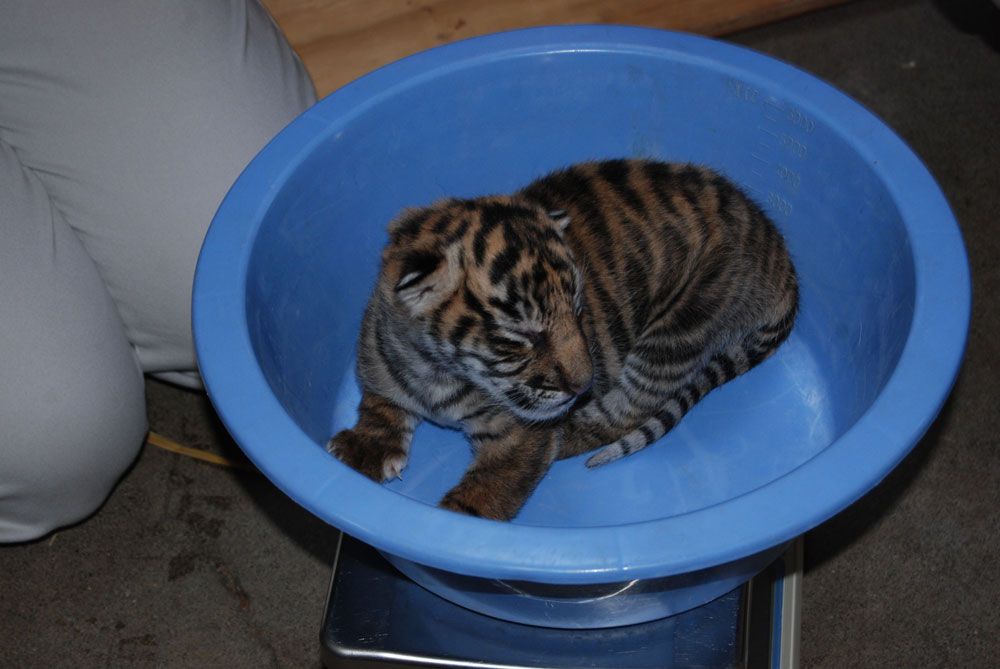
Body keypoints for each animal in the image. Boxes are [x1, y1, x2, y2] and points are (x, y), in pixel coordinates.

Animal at [327, 158, 799, 521]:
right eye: (522, 334)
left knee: (627, 411)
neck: (435, 370)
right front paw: (365, 449)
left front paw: (456, 521)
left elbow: (486, 494)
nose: (582, 386)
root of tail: (778, 250)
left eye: (577, 310)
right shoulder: (376, 357)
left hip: (682, 326)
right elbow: (380, 402)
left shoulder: (518, 438)